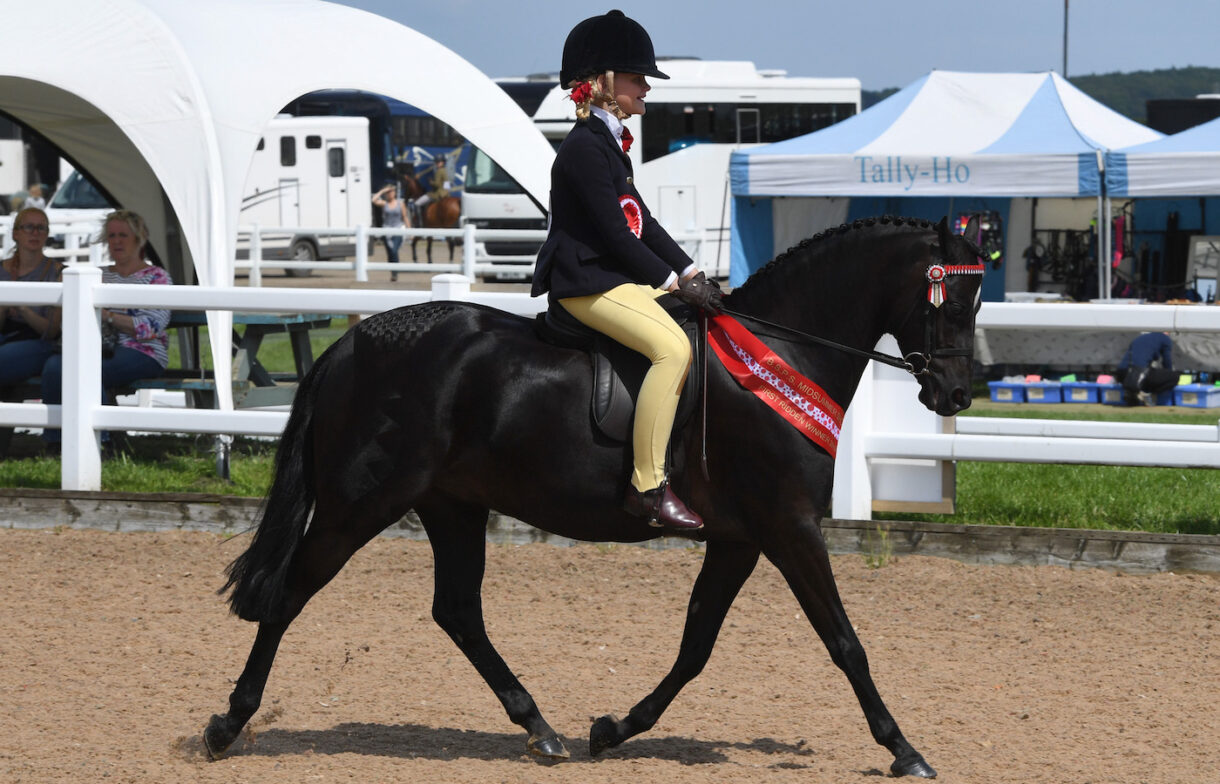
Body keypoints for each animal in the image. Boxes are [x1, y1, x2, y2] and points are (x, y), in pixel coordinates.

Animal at [202, 215, 986, 778]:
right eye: (948, 301)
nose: (956, 394)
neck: (779, 358)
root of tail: (354, 341)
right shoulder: (788, 526)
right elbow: (845, 642)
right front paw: (904, 750)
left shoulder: (739, 538)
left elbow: (696, 644)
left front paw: (613, 729)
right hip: (359, 504)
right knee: (290, 595)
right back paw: (227, 724)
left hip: (452, 506)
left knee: (457, 612)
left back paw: (540, 728)